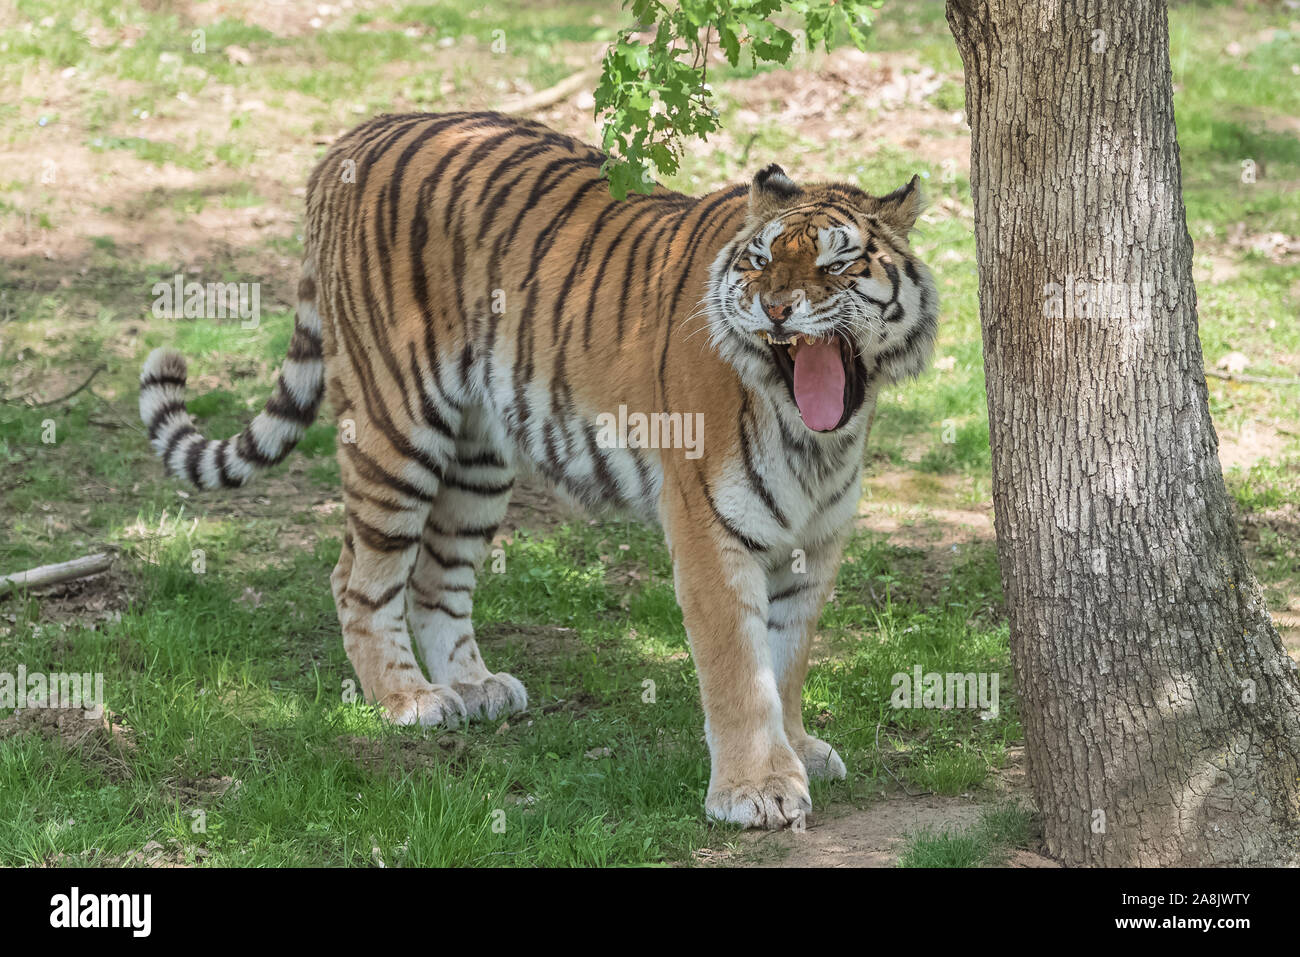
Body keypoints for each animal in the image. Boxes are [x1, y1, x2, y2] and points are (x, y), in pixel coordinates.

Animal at [138, 111, 938, 829]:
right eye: (760, 261)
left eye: (836, 264)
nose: (774, 309)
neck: (814, 436)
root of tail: (354, 136)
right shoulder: (710, 529)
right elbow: (740, 669)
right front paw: (757, 791)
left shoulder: (815, 540)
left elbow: (789, 656)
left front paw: (799, 750)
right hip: (394, 426)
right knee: (358, 577)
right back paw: (408, 699)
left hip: (478, 457)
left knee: (436, 579)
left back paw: (475, 687)